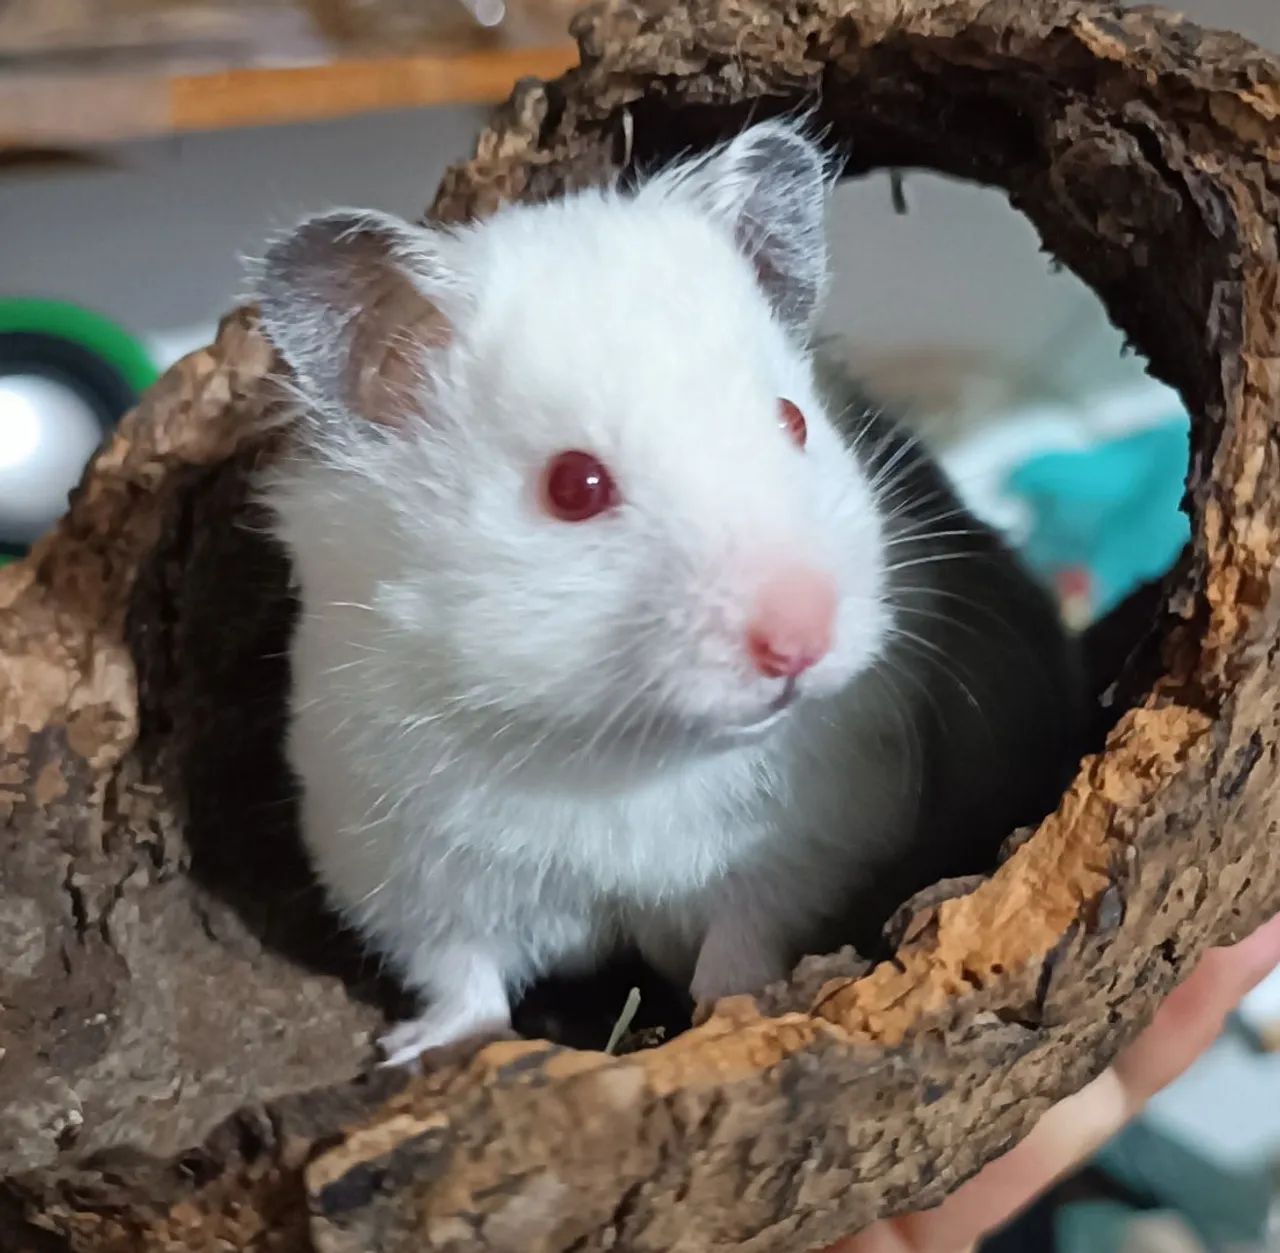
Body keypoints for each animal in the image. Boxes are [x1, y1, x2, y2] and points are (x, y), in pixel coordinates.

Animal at [255, 121, 1082, 1066]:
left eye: (794, 421)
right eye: (574, 486)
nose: (800, 640)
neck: (624, 747)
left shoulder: (811, 838)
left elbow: (743, 936)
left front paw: (733, 1009)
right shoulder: (399, 854)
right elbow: (460, 968)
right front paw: (422, 1047)